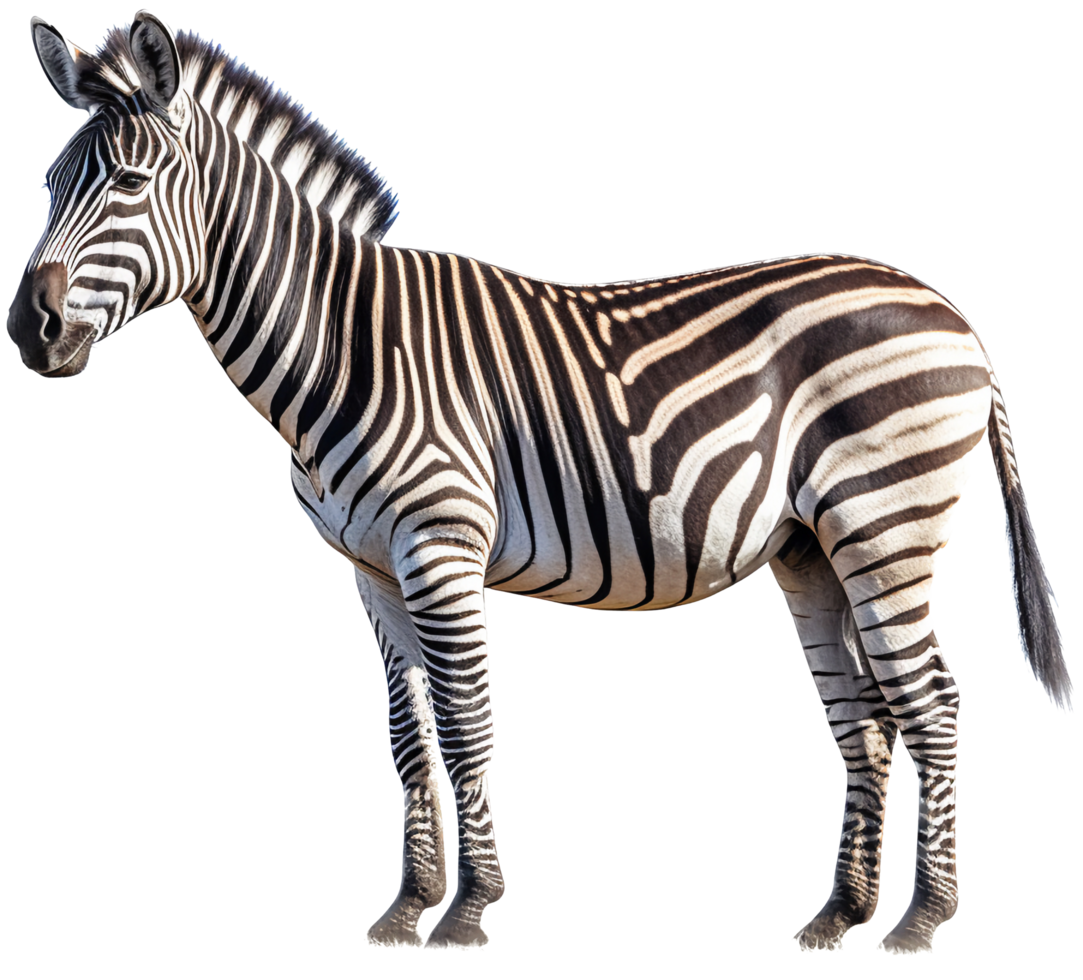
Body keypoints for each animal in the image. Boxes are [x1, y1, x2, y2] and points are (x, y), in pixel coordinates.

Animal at [6, 11, 1073, 956]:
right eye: (49, 189)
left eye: (131, 183)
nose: (28, 331)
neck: (341, 345)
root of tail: (950, 311)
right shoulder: (369, 569)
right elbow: (408, 738)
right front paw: (406, 908)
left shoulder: (440, 545)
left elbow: (467, 725)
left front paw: (466, 911)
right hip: (813, 549)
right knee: (863, 720)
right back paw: (834, 919)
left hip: (884, 522)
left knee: (931, 702)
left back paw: (917, 922)